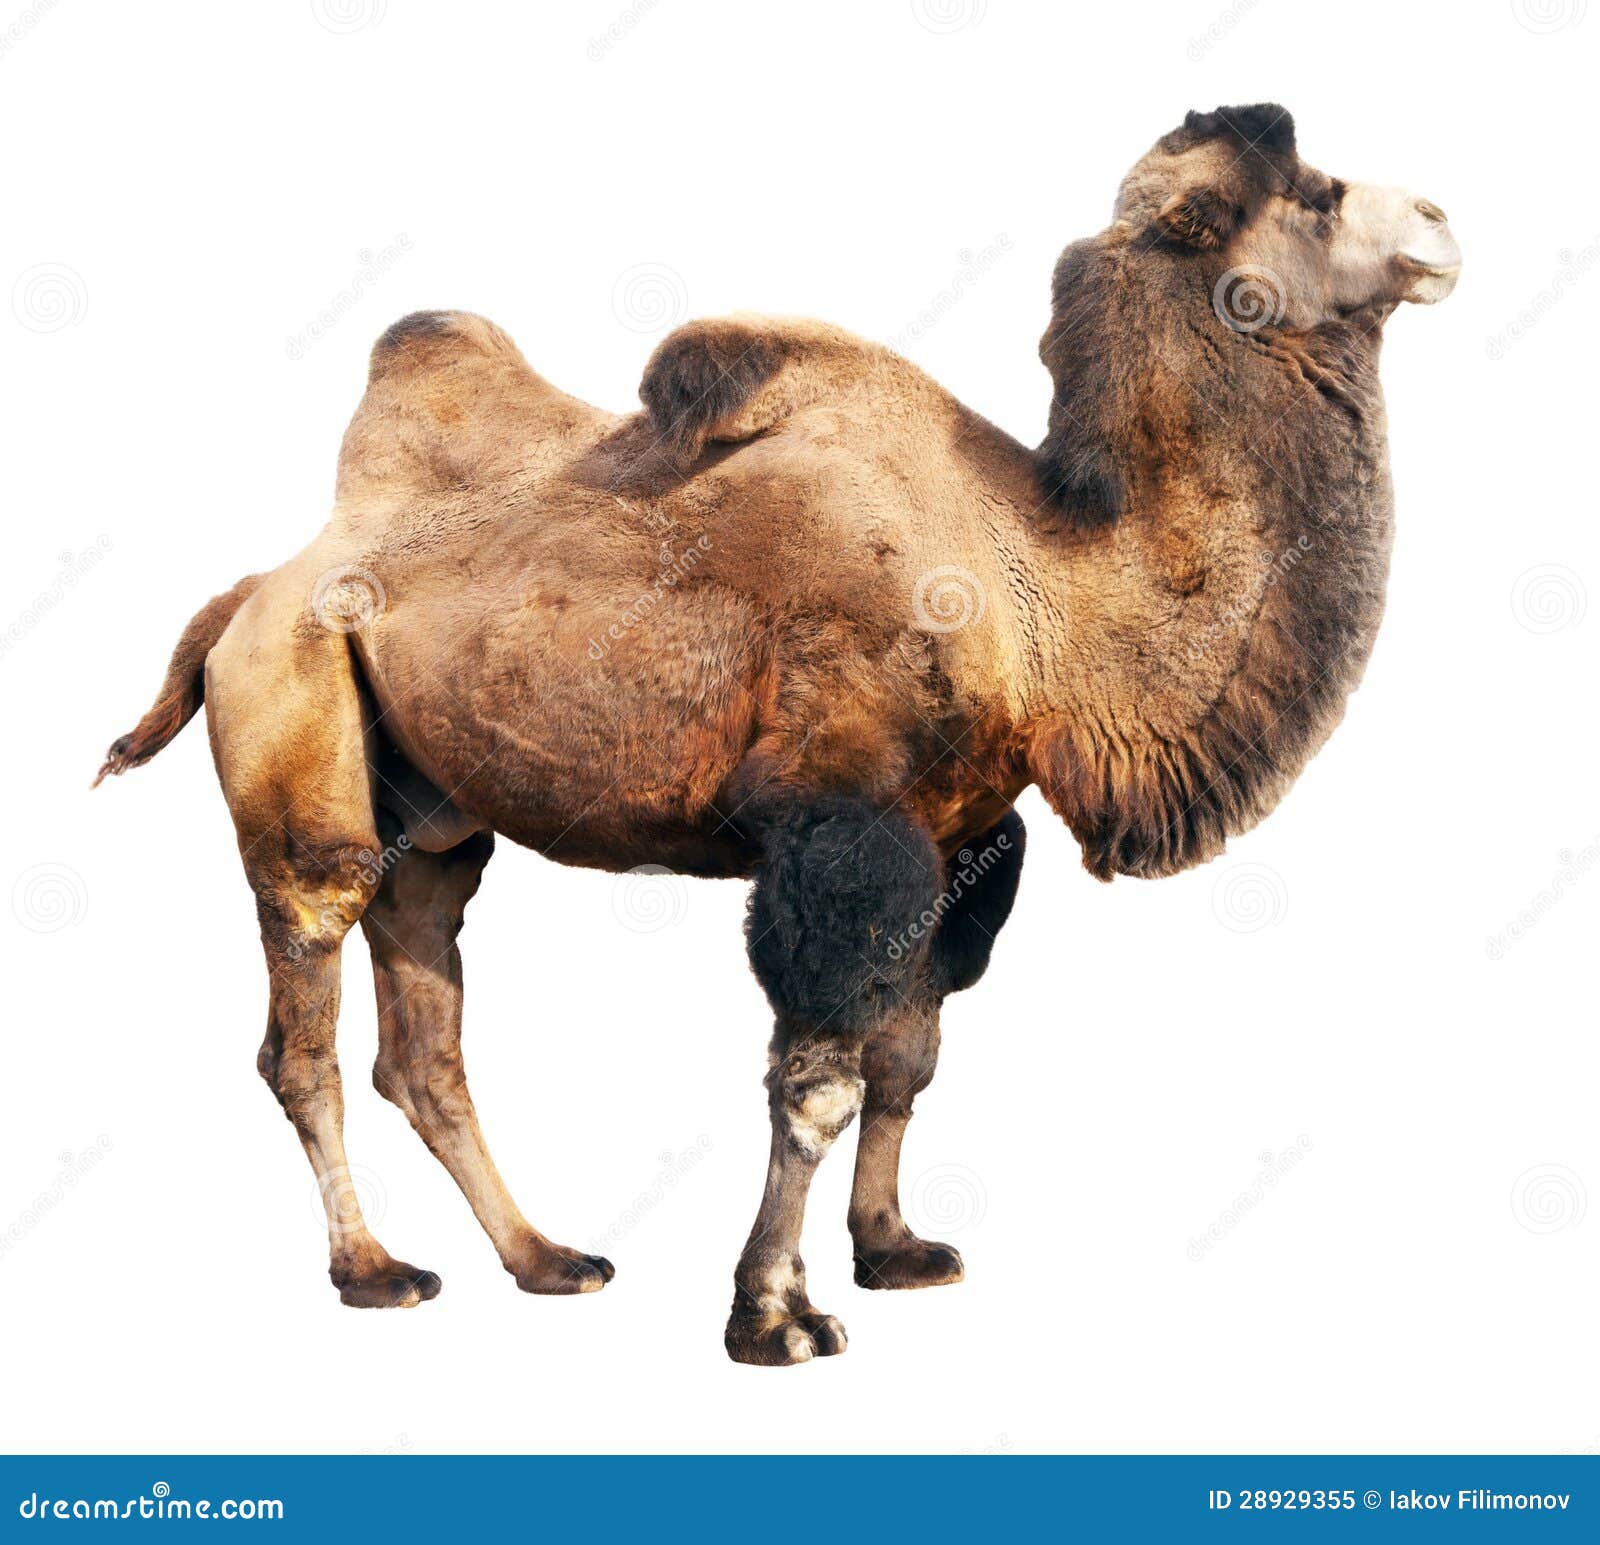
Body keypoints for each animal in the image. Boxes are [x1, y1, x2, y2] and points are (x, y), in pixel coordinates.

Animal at [96, 105, 1459, 1365]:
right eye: (1313, 193)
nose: (1441, 221)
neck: (1042, 584)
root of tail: (248, 593)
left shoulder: (961, 837)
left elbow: (908, 1053)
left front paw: (894, 1252)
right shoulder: (836, 824)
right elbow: (817, 1081)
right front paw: (774, 1317)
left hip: (430, 824)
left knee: (424, 1040)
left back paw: (547, 1259)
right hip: (296, 723)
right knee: (305, 1014)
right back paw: (375, 1272)